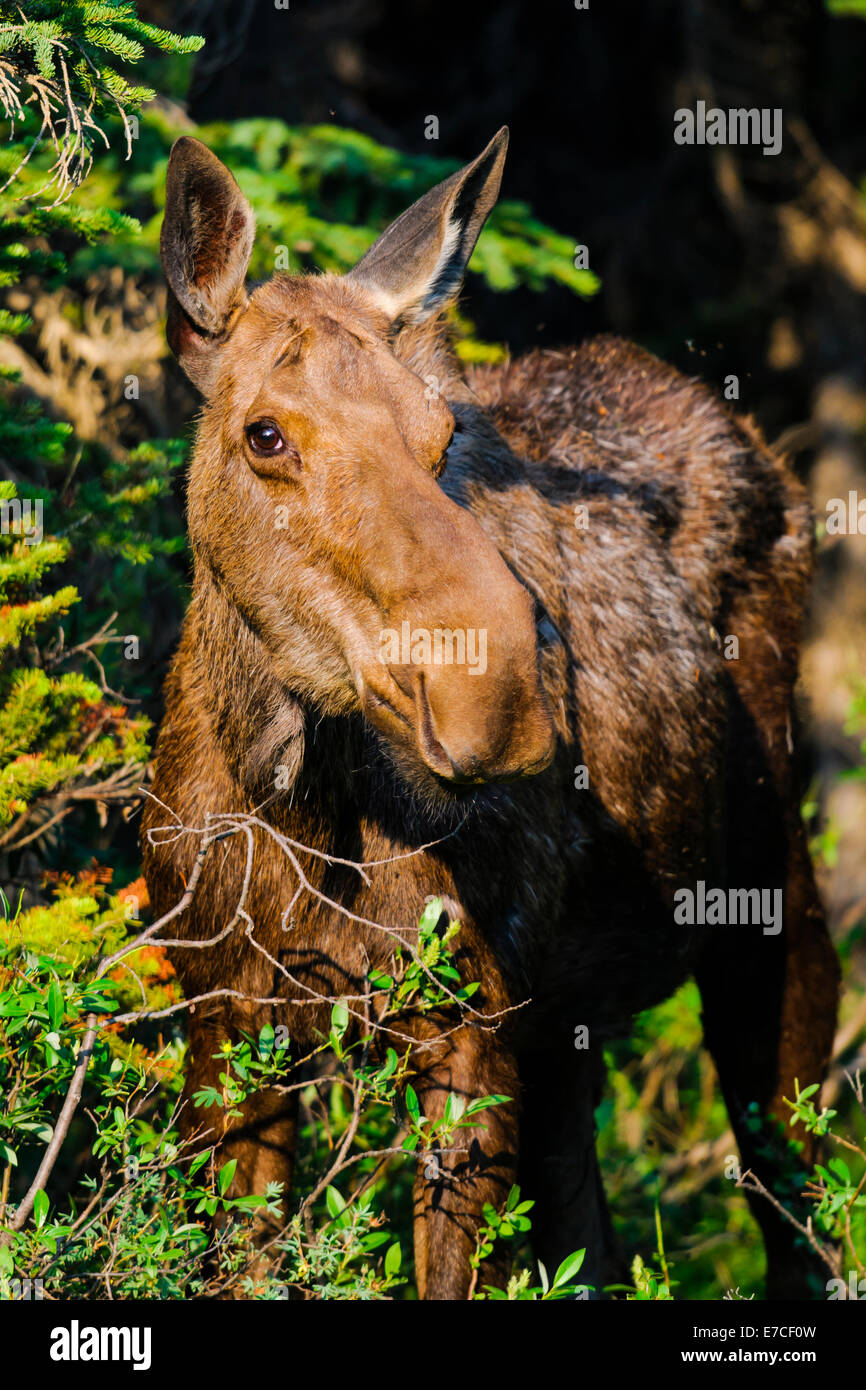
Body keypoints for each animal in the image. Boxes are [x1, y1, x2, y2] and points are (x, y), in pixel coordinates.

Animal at [142, 127, 839, 1300]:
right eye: (265, 434)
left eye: (443, 431)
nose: (499, 692)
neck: (295, 807)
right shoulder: (223, 1012)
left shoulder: (470, 1022)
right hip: (566, 1019)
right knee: (589, 1225)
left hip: (769, 902)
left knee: (803, 1209)